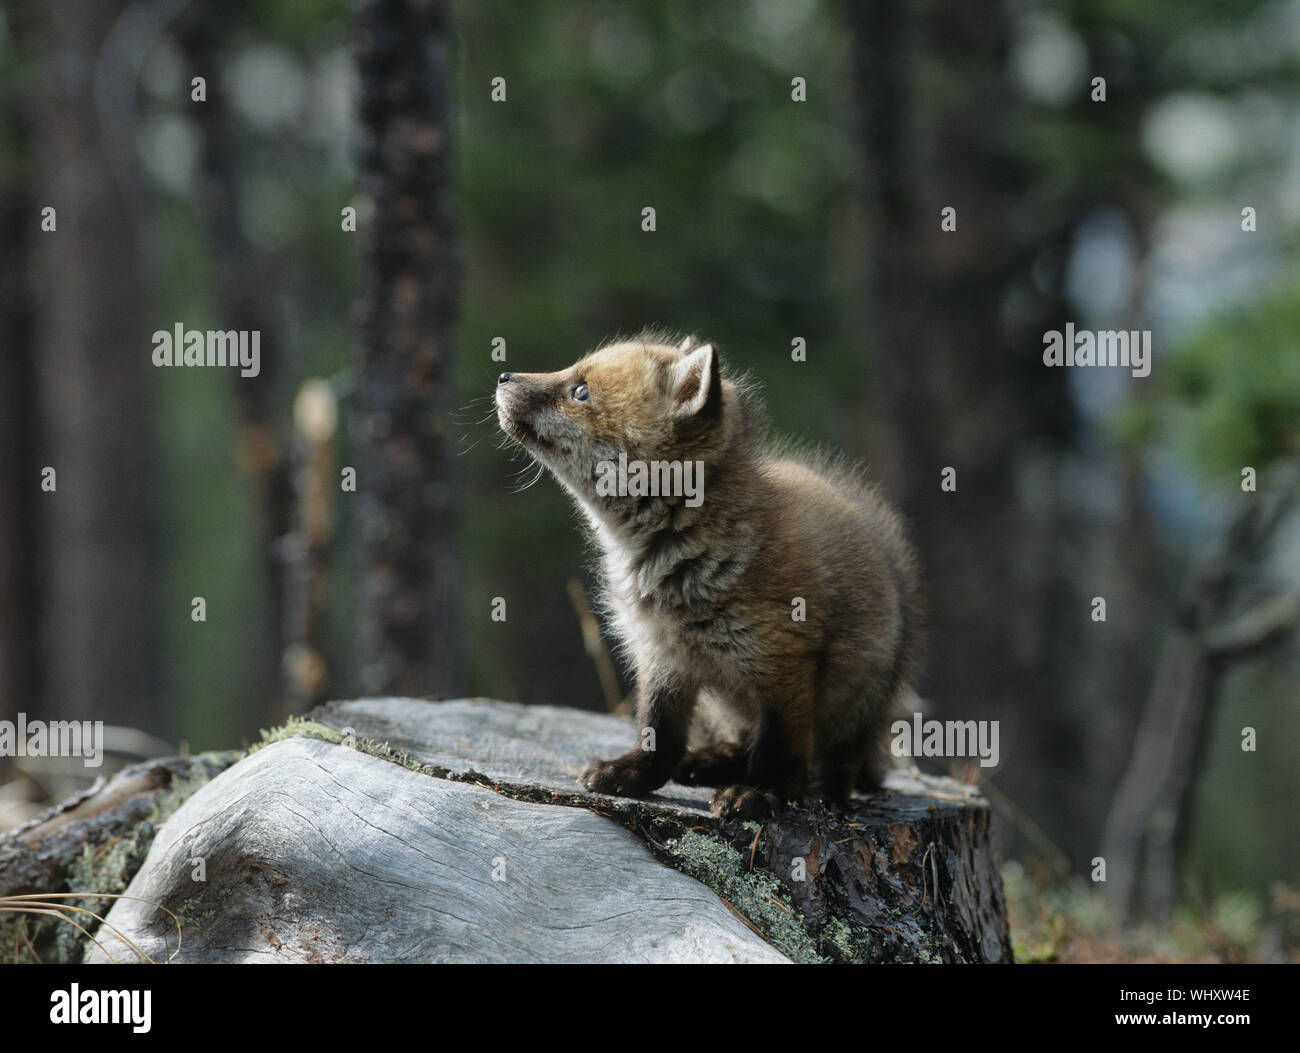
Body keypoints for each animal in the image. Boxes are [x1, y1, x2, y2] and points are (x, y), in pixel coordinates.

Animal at [495, 332, 923, 821]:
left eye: (580, 392)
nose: (502, 375)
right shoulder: (663, 657)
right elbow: (657, 735)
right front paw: (632, 774)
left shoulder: (785, 664)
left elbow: (779, 749)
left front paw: (761, 793)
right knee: (740, 742)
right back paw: (711, 761)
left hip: (855, 708)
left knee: (833, 767)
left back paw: (812, 789)